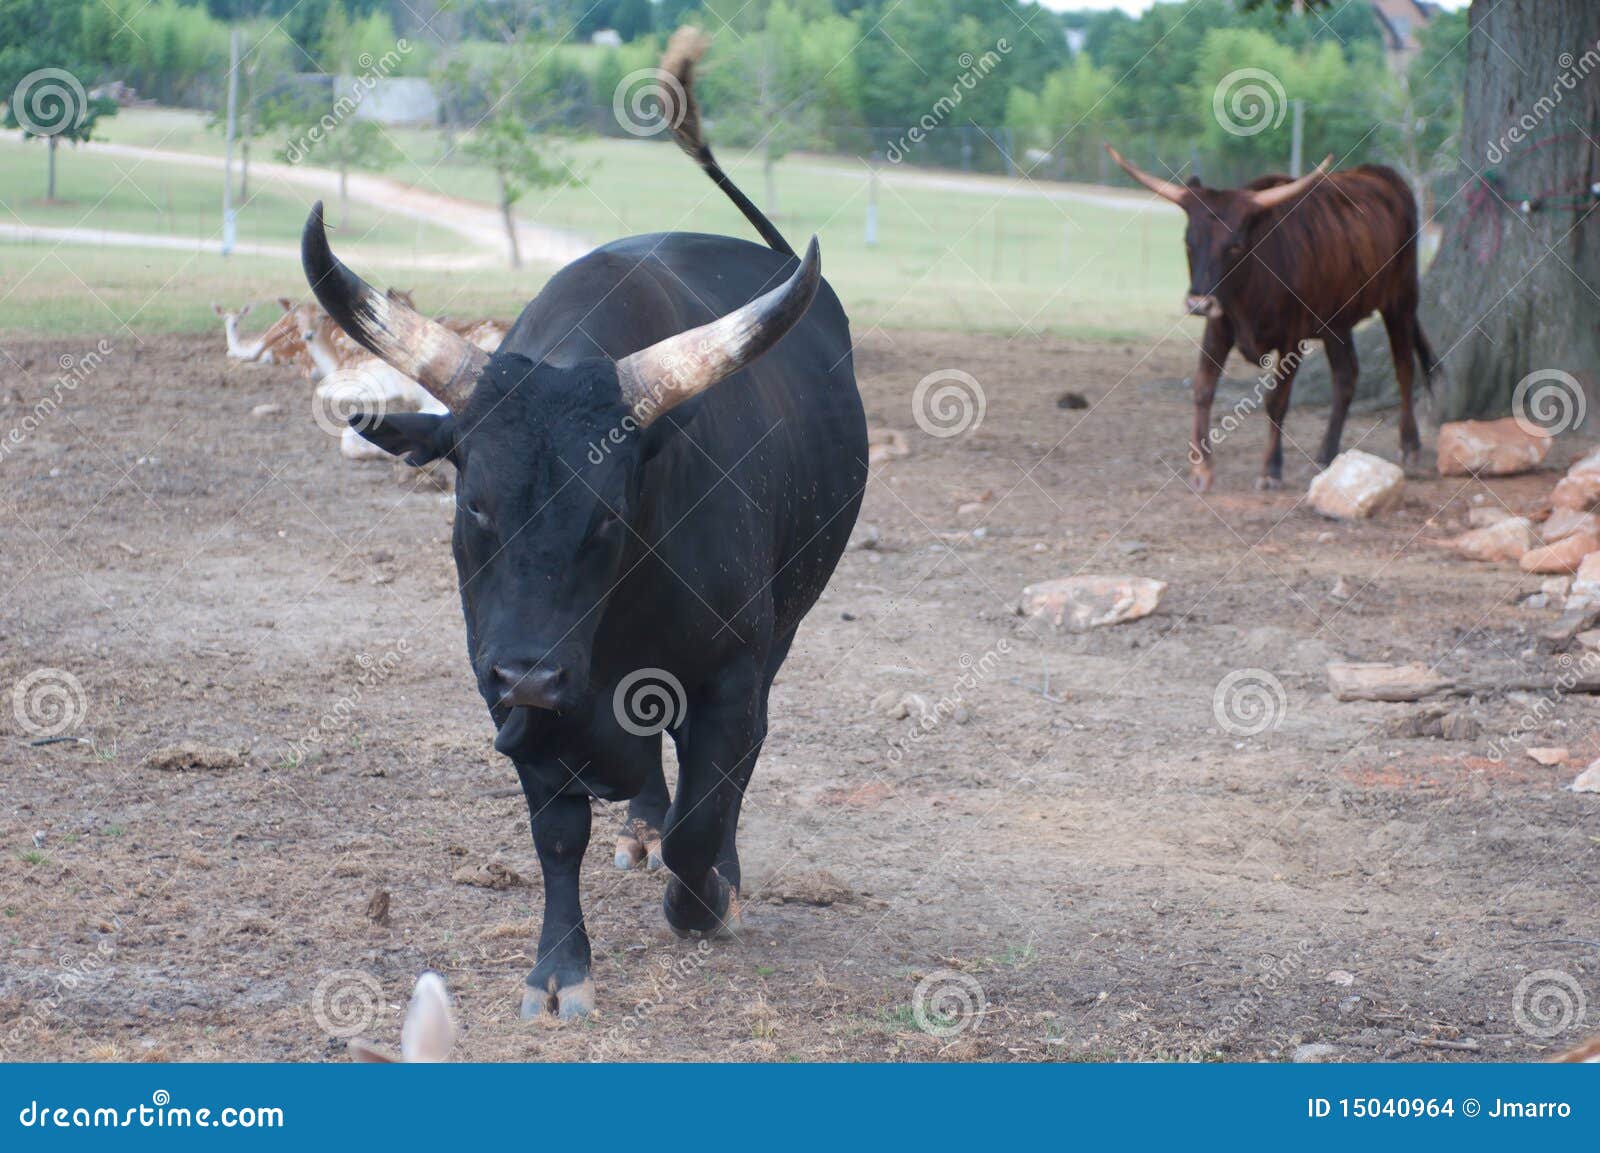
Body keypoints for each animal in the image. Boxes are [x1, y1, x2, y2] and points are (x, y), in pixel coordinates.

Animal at [300, 28, 867, 1019]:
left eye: (607, 516)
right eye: (473, 502)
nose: (532, 671)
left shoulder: (733, 674)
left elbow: (707, 812)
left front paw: (706, 898)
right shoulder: (505, 684)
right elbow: (557, 830)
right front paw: (559, 967)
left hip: (785, 626)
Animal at [1106, 146, 1437, 493]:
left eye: (1235, 246)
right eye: (1188, 241)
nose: (1198, 302)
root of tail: (1382, 174)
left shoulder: (1293, 339)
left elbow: (1276, 400)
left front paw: (1270, 469)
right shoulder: (1219, 327)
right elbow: (1203, 389)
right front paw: (1201, 468)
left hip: (1401, 300)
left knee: (1404, 367)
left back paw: (1410, 444)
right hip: (1336, 320)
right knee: (1346, 375)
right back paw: (1327, 453)